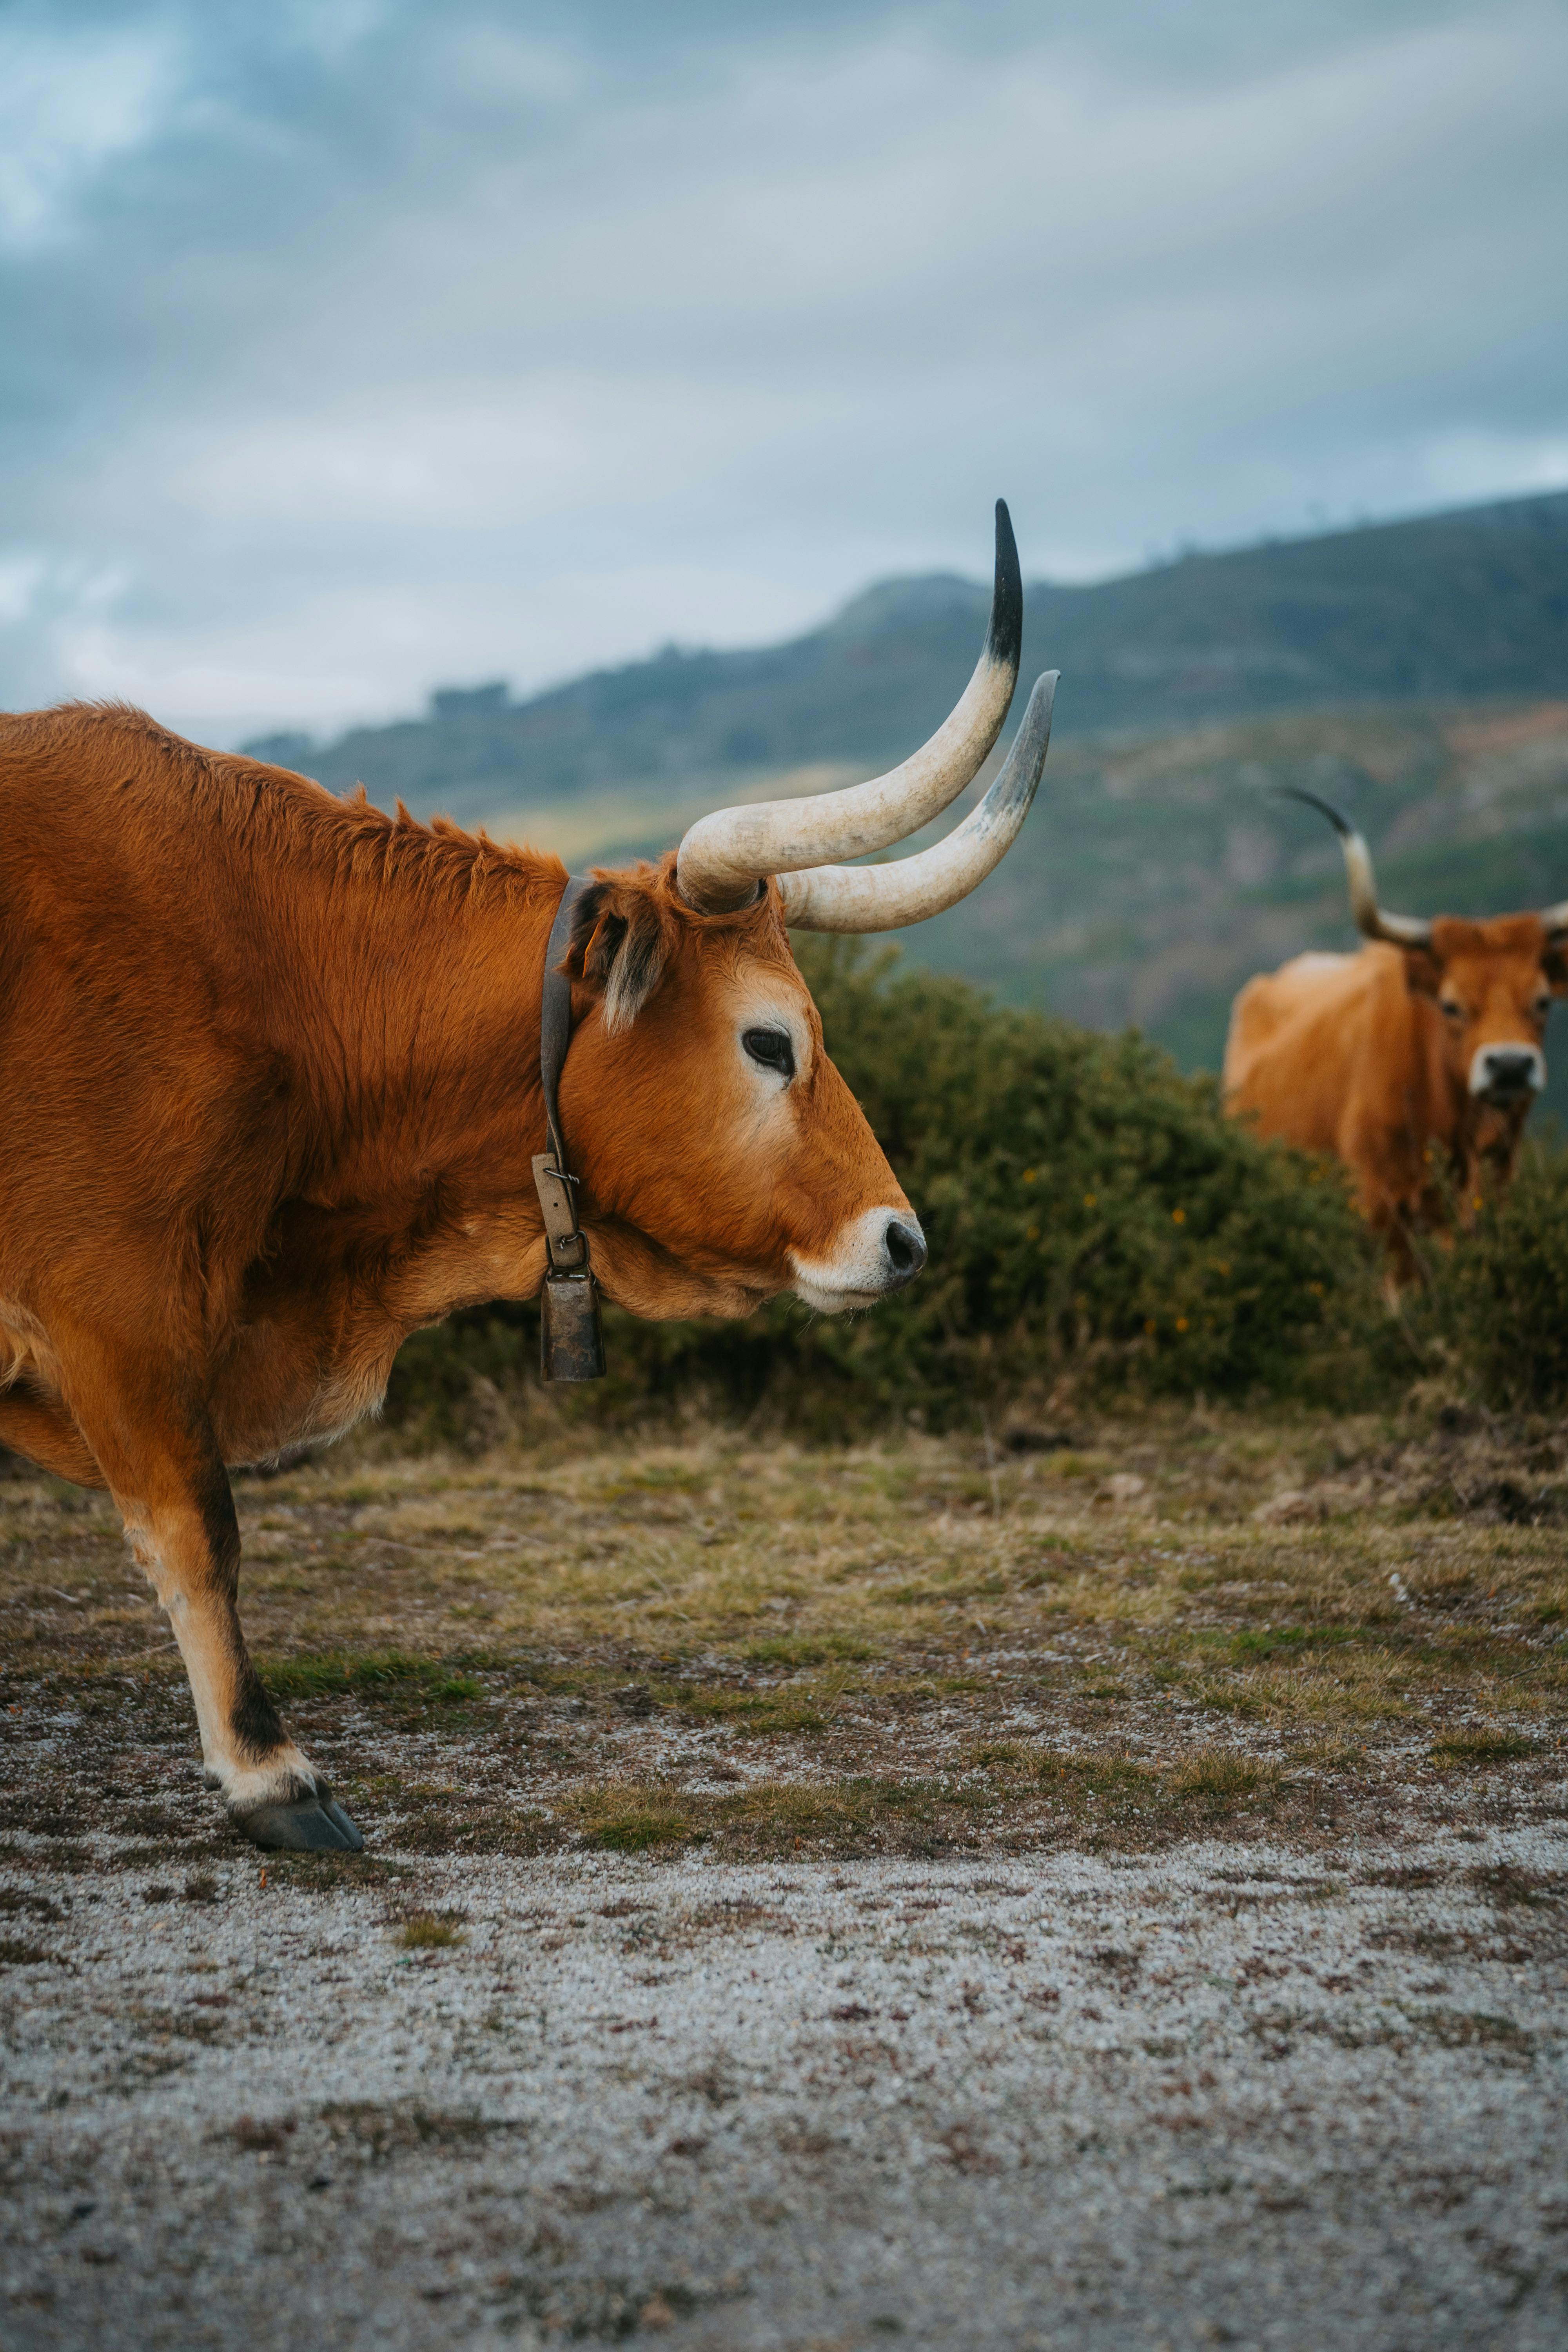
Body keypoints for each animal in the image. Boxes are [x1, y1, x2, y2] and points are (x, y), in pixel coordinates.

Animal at [0, 503, 1057, 1852]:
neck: (277, 971)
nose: (902, 1240)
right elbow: (198, 1526)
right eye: (771, 1041)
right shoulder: (118, 1303)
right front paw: (271, 1772)